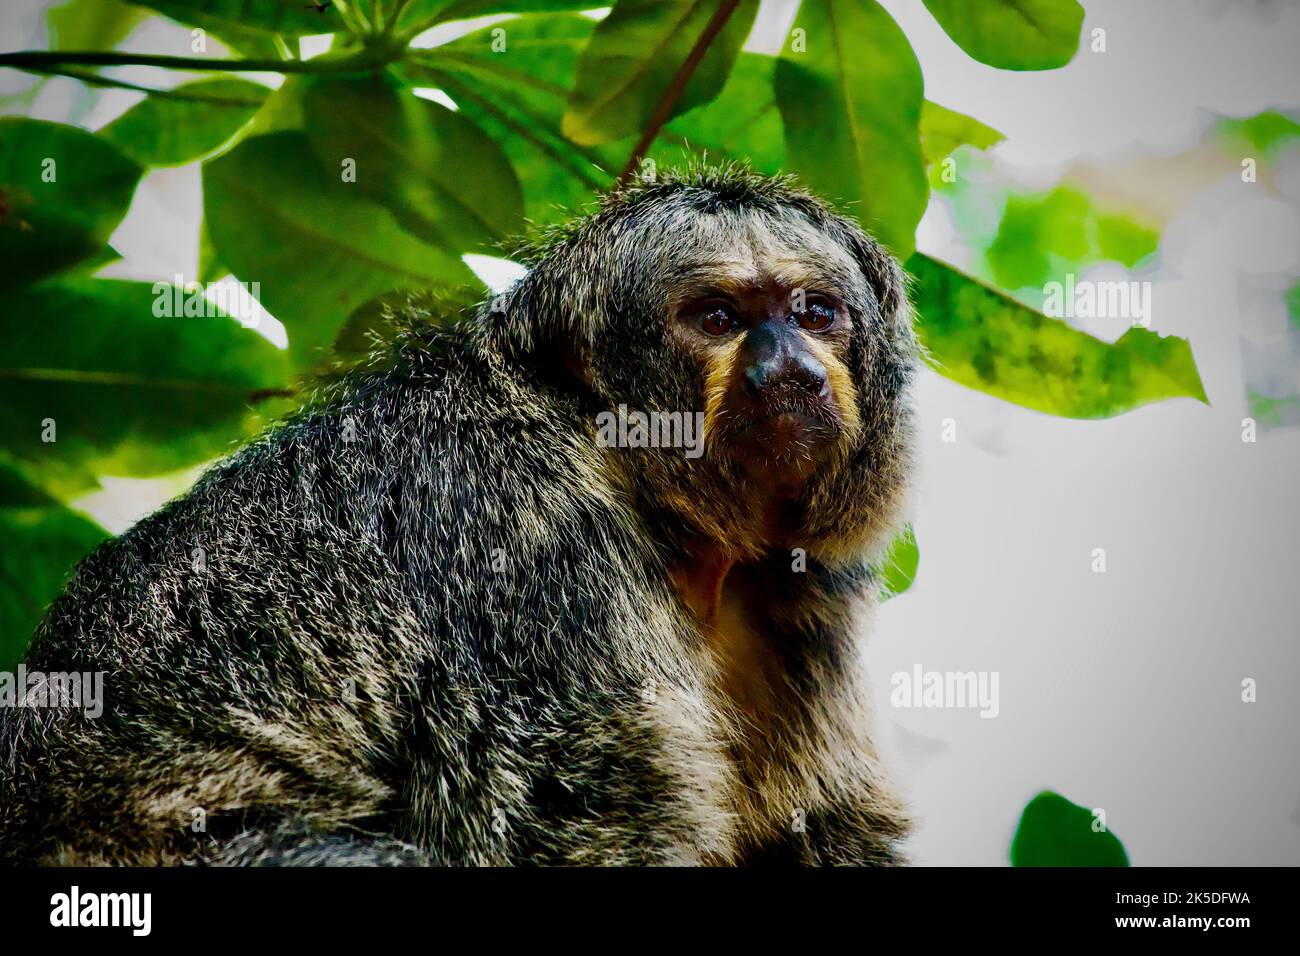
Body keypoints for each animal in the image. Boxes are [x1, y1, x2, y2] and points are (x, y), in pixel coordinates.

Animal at [0, 164, 918, 866]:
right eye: (719, 318)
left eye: (814, 313)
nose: (790, 370)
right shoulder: (515, 526)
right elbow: (563, 817)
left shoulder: (803, 594)